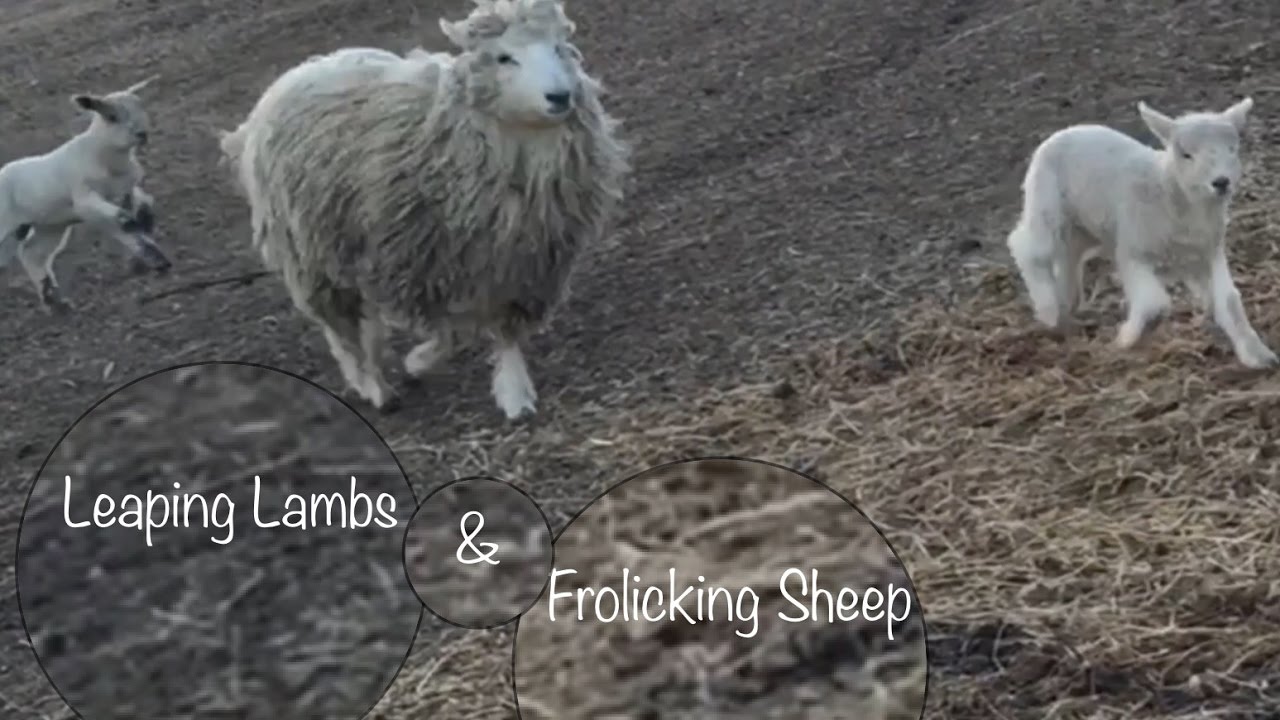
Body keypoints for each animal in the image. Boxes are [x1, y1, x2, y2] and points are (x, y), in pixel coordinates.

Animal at [0, 75, 170, 312]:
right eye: (112, 116)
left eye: (140, 106)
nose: (142, 134)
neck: (102, 155)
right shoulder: (85, 199)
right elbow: (125, 221)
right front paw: (152, 259)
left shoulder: (126, 189)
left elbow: (141, 213)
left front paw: (151, 260)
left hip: (48, 224)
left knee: (32, 253)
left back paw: (54, 301)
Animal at [219, 0, 629, 419]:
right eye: (503, 57)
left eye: (560, 48)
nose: (560, 97)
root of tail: (300, 71)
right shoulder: (419, 260)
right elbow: (454, 330)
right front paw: (419, 361)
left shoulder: (515, 263)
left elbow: (492, 331)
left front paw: (513, 390)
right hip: (311, 252)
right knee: (343, 330)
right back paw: (371, 384)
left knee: (366, 326)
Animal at [1006, 96, 1277, 369]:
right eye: (1186, 155)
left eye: (1233, 149)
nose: (1221, 182)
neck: (1170, 193)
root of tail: (1068, 130)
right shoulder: (1133, 250)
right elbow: (1153, 303)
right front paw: (1129, 336)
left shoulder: (1207, 254)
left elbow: (1229, 302)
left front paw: (1258, 355)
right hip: (1046, 203)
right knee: (1028, 248)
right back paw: (1049, 308)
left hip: (1084, 228)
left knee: (1069, 255)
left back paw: (1065, 305)